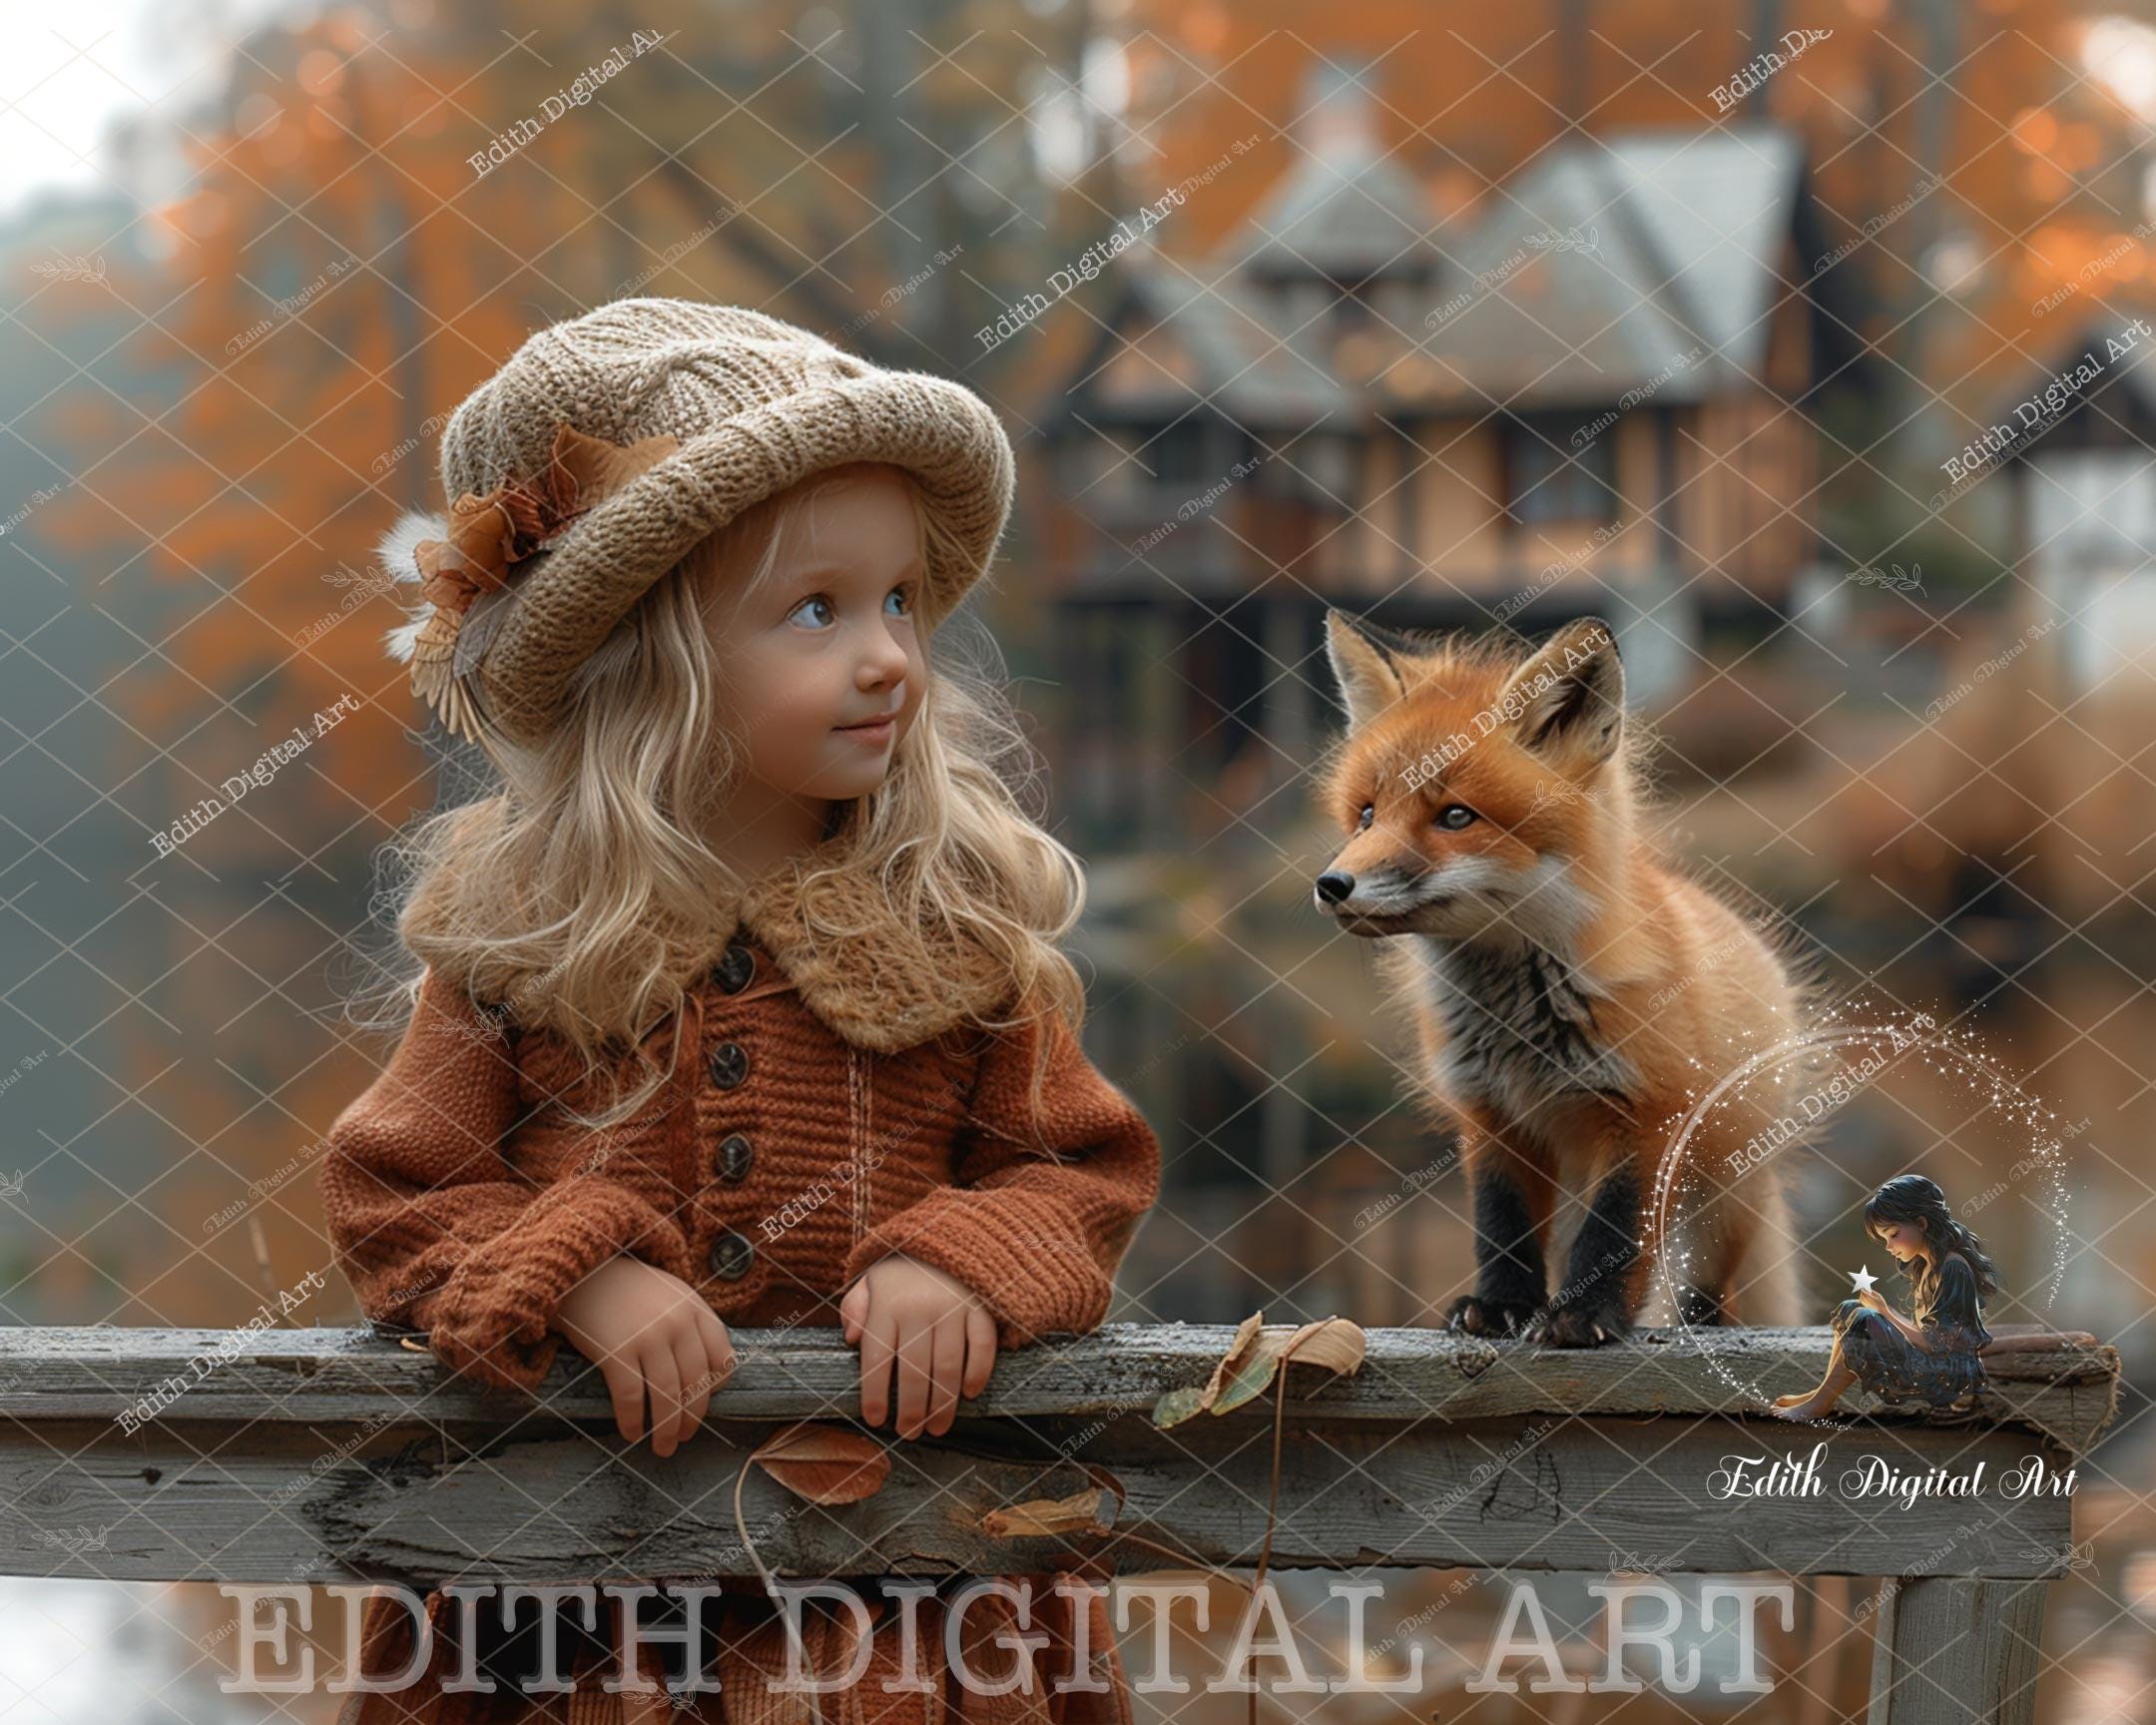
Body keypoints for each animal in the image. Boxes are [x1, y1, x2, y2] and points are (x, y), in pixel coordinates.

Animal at [1313, 611, 1812, 1345]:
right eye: (1368, 814)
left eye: (1455, 817)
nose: (1332, 885)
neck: (1522, 1021)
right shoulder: (1489, 1112)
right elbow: (1503, 1225)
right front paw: (1500, 1307)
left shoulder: (1649, 1110)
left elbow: (1613, 1234)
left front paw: (1584, 1317)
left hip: (1719, 1200)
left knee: (1709, 1293)